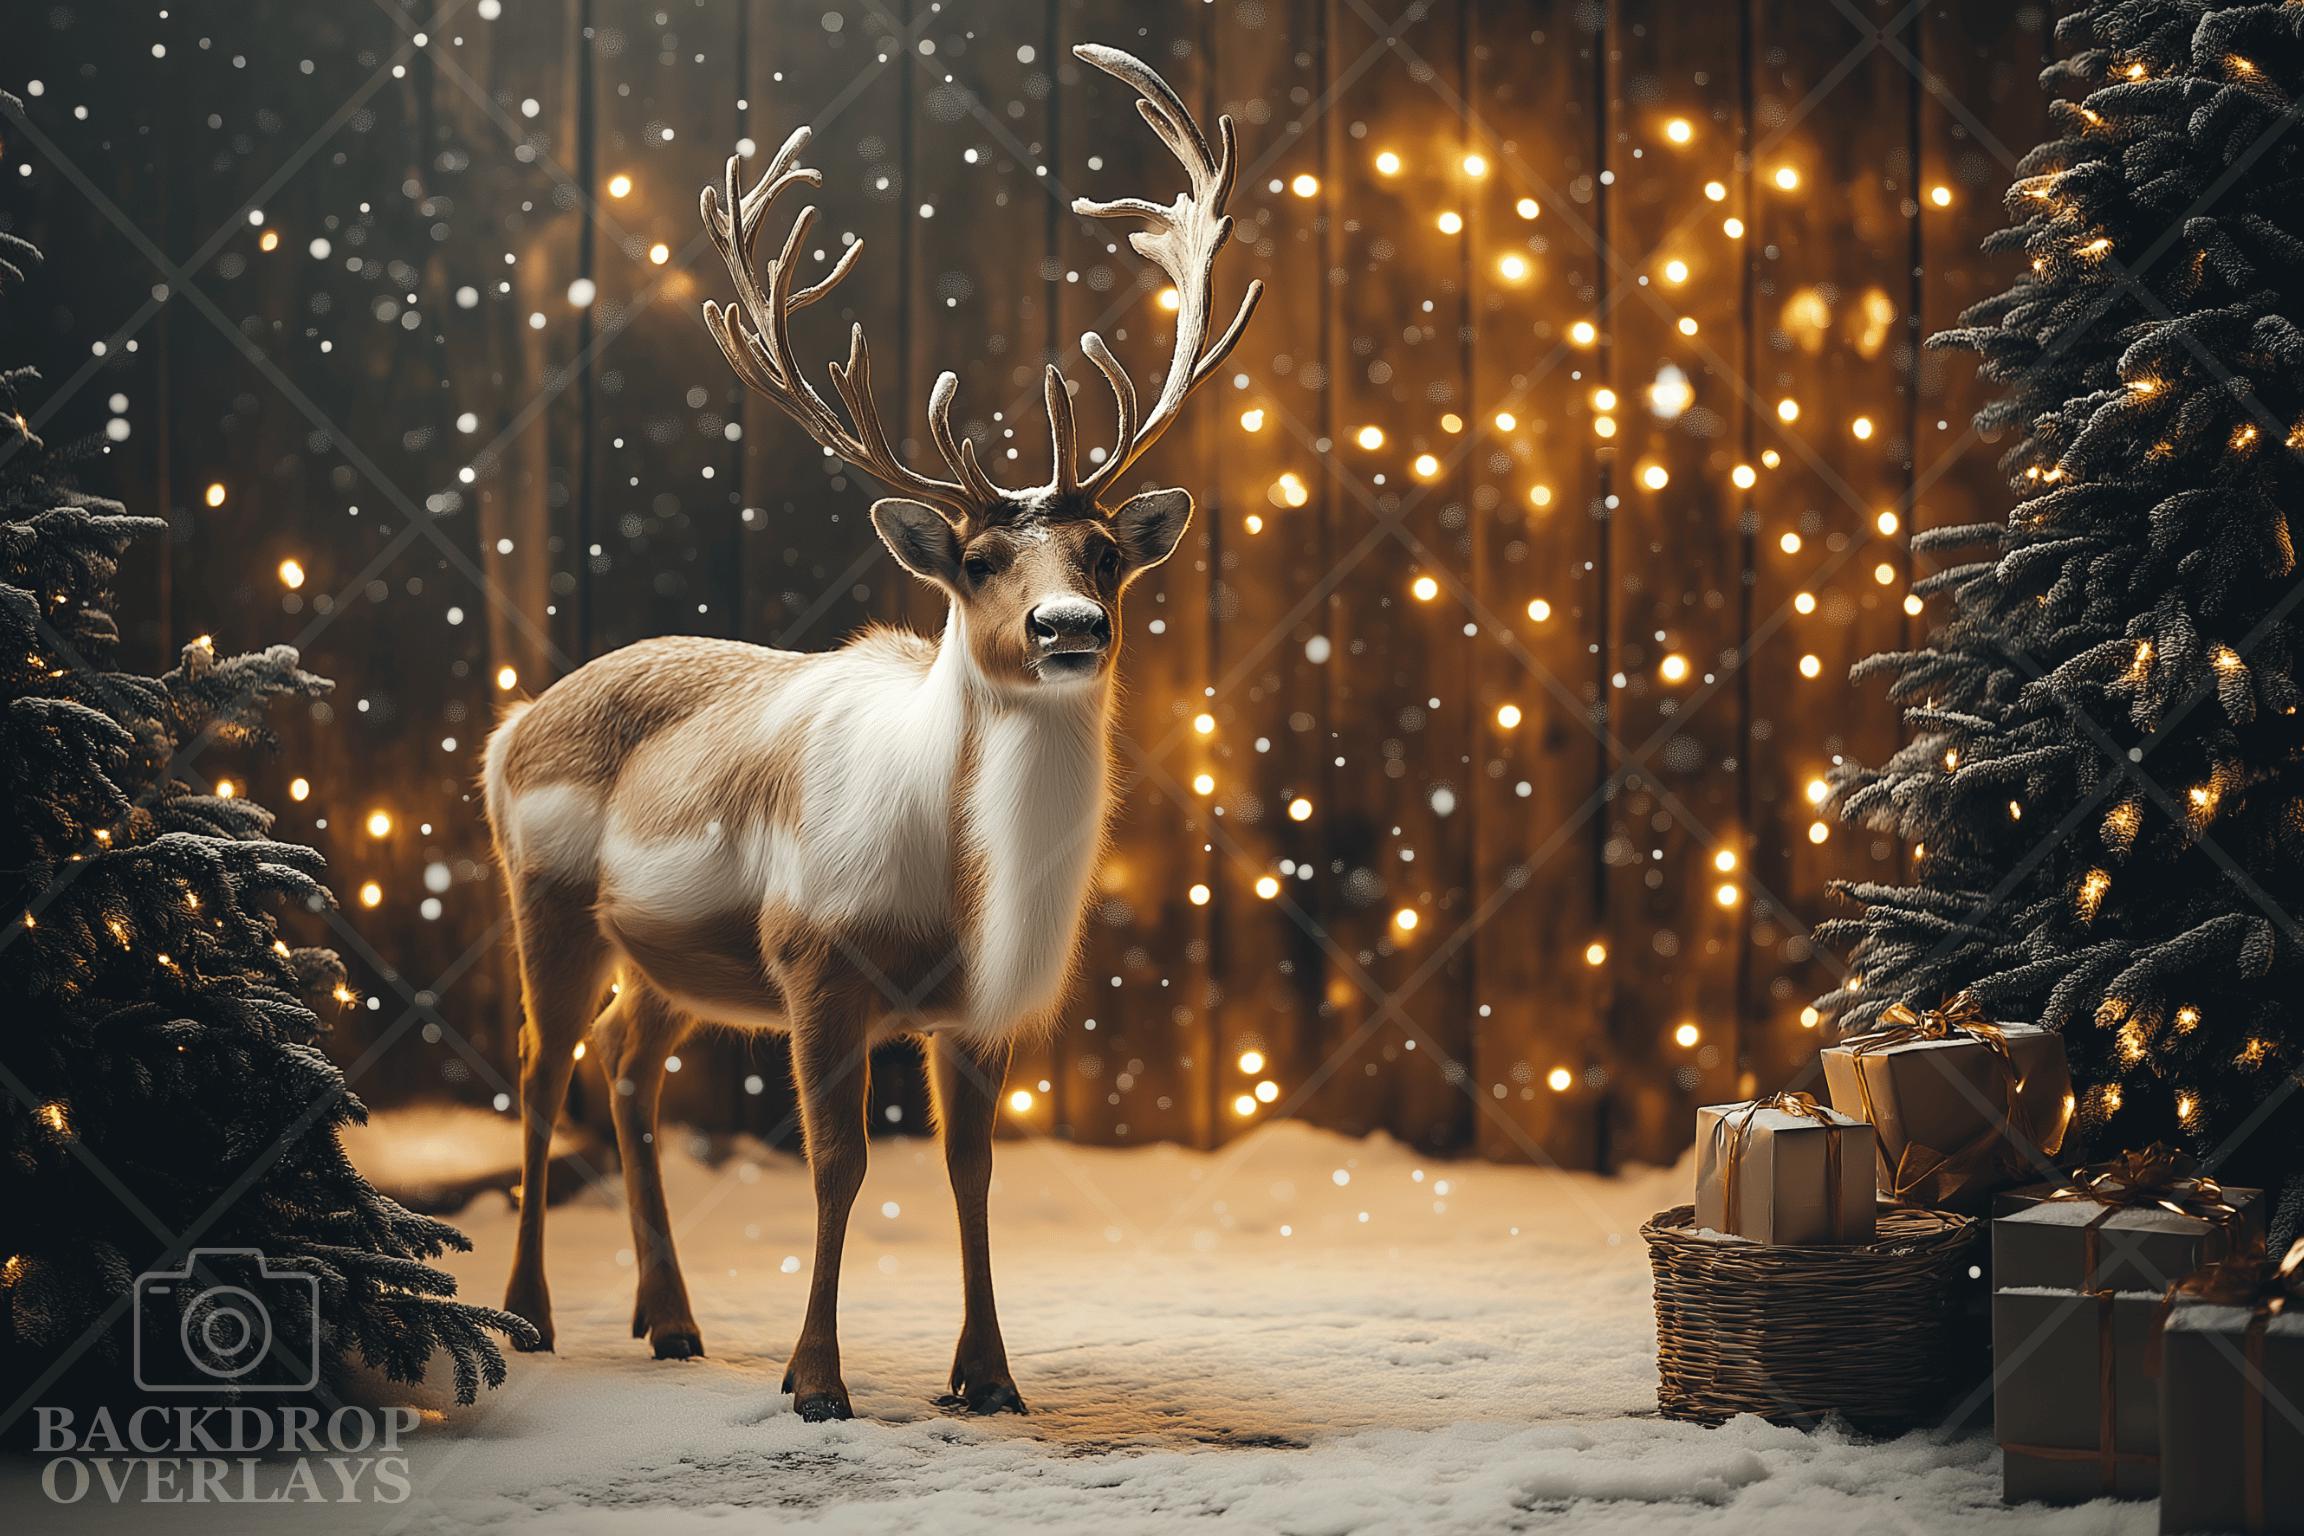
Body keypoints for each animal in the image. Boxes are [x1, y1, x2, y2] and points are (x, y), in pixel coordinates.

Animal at [482, 44, 1260, 1422]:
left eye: (1107, 556)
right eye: (980, 559)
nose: (1069, 625)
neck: (956, 892)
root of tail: (508, 726)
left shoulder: (982, 1014)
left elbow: (970, 1171)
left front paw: (989, 1377)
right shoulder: (814, 960)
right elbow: (837, 1166)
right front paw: (816, 1381)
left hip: (673, 958)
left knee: (627, 1064)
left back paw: (668, 1318)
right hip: (549, 892)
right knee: (538, 1068)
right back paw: (529, 1313)